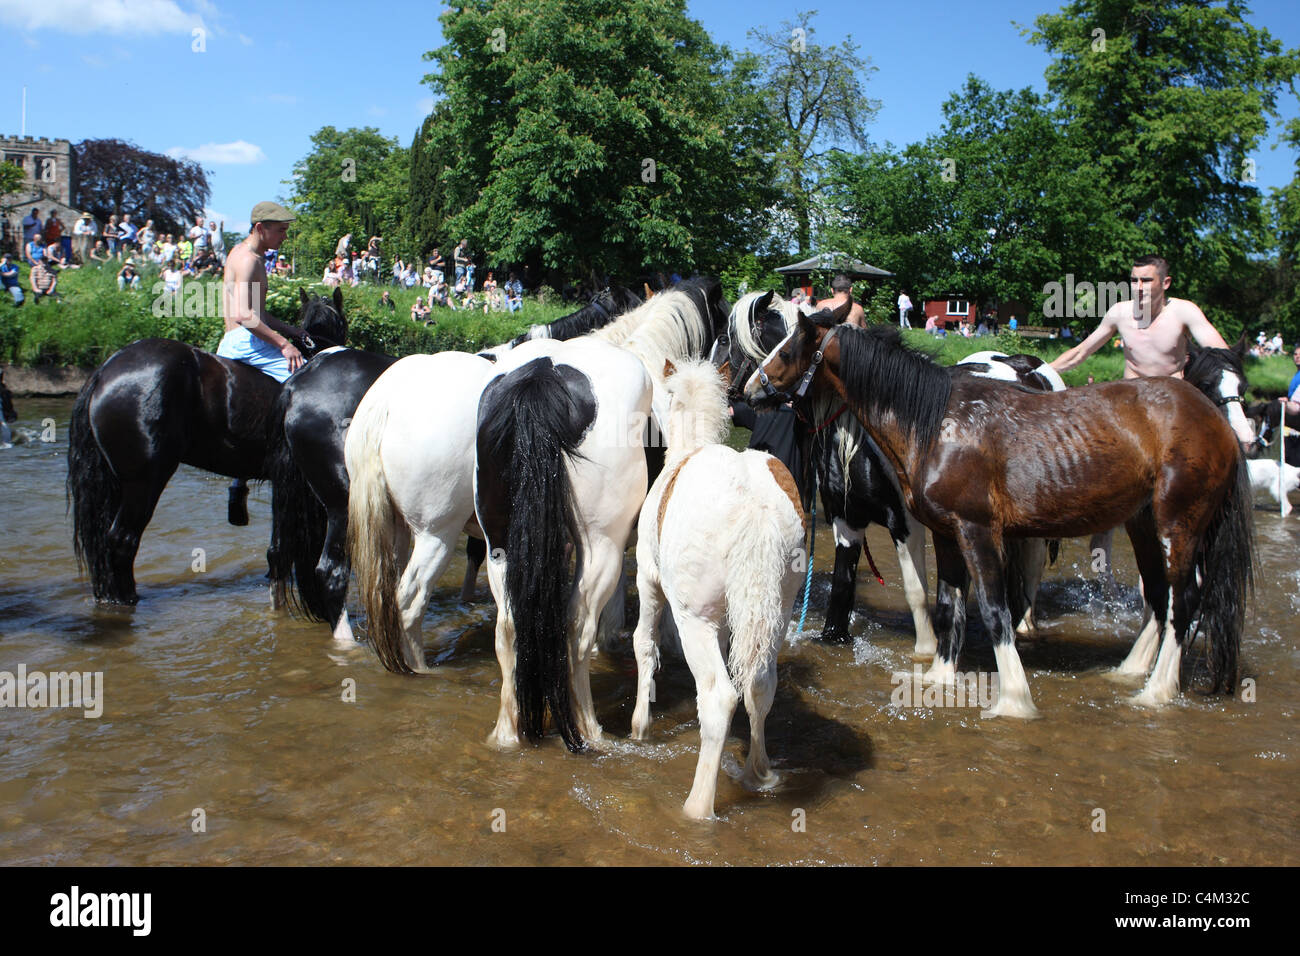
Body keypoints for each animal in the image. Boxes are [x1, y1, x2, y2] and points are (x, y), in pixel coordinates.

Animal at [68, 288, 347, 606]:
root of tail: (104, 370)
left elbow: (277, 548)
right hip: (145, 480)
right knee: (122, 540)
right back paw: (128, 599)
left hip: (117, 481)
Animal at [472, 277, 729, 752]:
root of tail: (543, 376)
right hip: (600, 548)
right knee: (576, 627)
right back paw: (590, 730)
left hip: (501, 545)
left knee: (509, 628)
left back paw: (508, 731)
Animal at [629, 359, 804, 819]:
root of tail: (755, 506)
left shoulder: (647, 580)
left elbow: (644, 644)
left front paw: (639, 726)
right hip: (776, 613)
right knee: (760, 685)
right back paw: (758, 773)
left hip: (695, 620)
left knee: (719, 697)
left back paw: (698, 805)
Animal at [745, 303, 1253, 716]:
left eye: (787, 350)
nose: (749, 390)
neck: (934, 423)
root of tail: (1215, 420)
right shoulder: (945, 533)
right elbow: (948, 603)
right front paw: (940, 677)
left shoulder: (977, 530)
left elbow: (993, 610)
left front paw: (1013, 698)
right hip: (1144, 526)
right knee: (1161, 598)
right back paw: (1131, 671)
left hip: (1178, 527)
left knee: (1186, 599)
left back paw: (1157, 691)